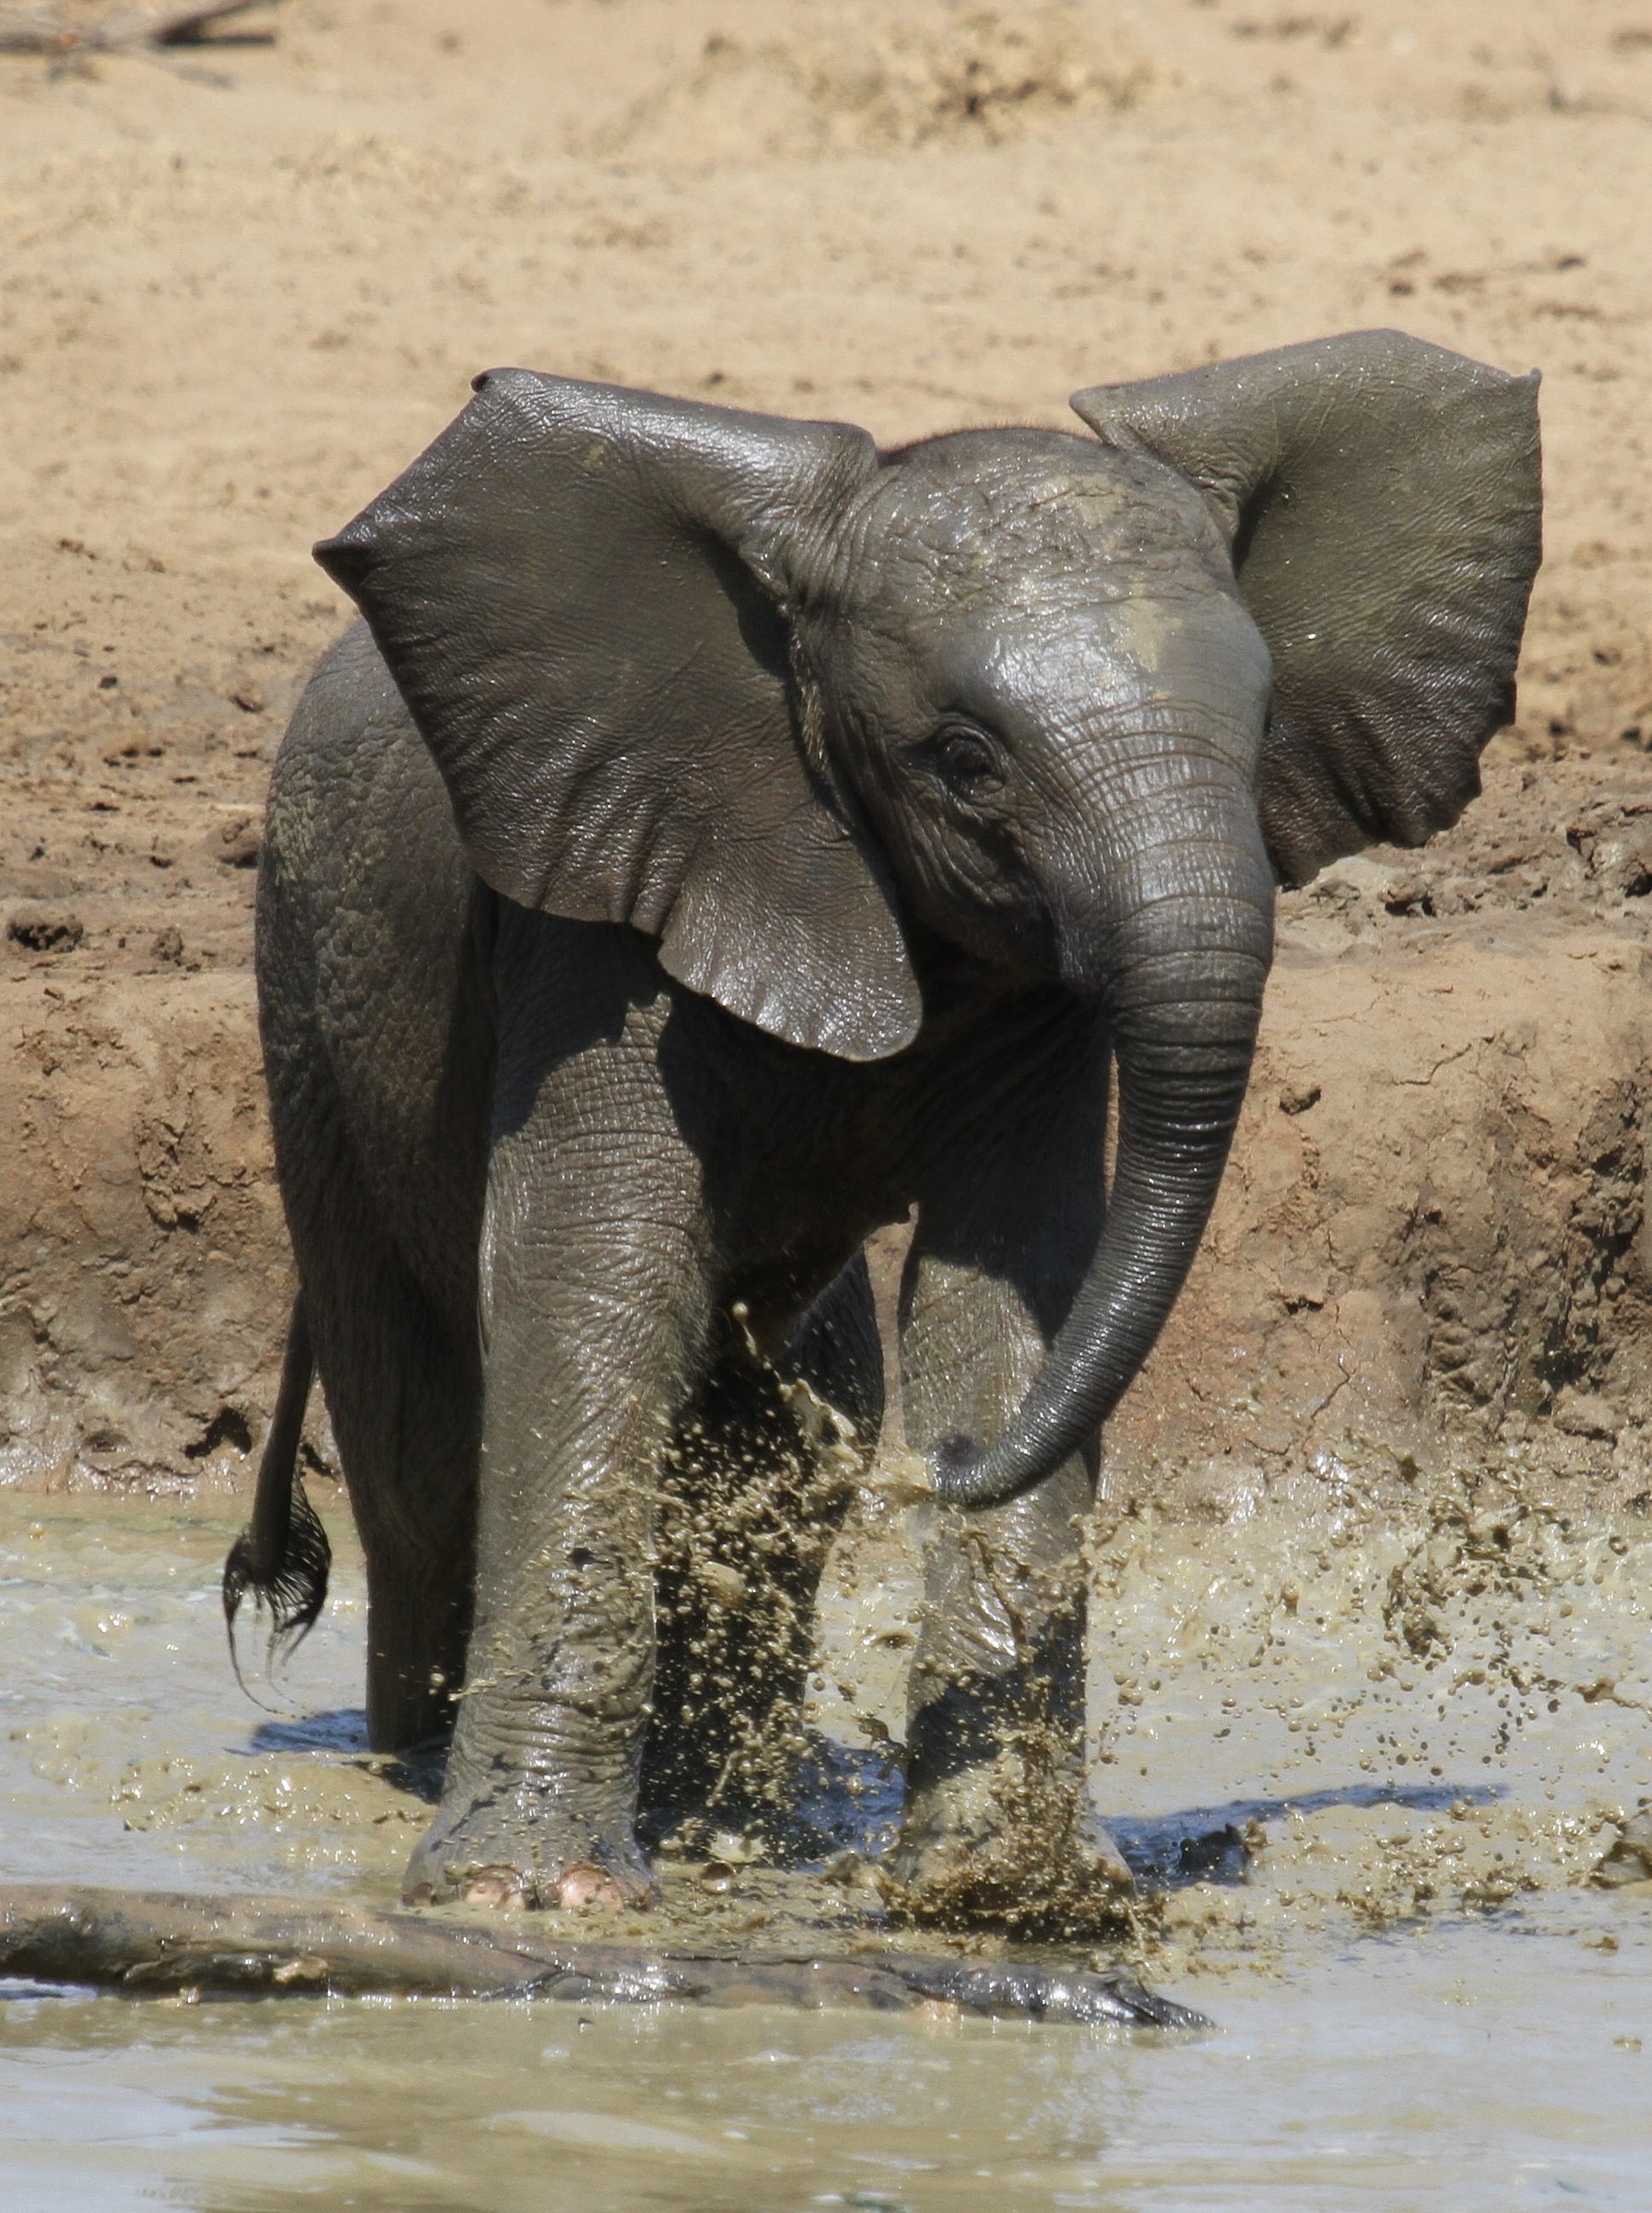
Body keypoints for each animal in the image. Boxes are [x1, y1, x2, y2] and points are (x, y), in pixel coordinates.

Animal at [224, 329, 1540, 1923]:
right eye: (964, 761)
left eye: (1269, 725)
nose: (950, 1464)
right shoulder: (597, 905)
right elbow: (596, 1276)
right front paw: (528, 1894)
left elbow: (1008, 1294)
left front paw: (1007, 1891)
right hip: (306, 997)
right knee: (424, 1448)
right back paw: (426, 1768)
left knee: (802, 1428)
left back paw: (737, 1810)